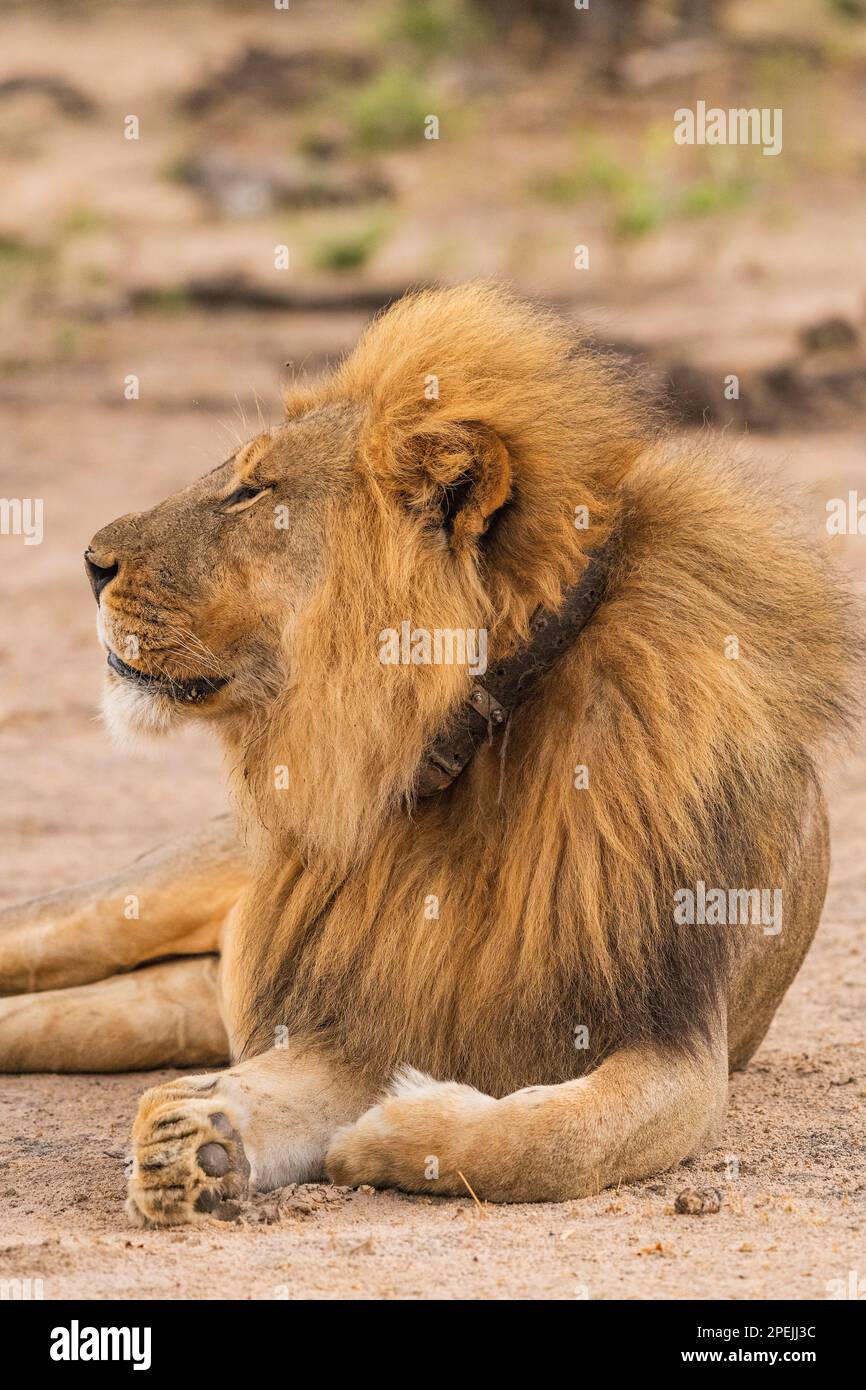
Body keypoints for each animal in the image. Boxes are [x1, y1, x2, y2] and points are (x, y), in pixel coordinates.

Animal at [0, 283, 857, 1223]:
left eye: (250, 492)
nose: (89, 564)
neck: (471, 754)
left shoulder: (675, 1033)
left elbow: (559, 1139)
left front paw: (320, 1137)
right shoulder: (368, 1005)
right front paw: (213, 1136)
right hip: (138, 902)